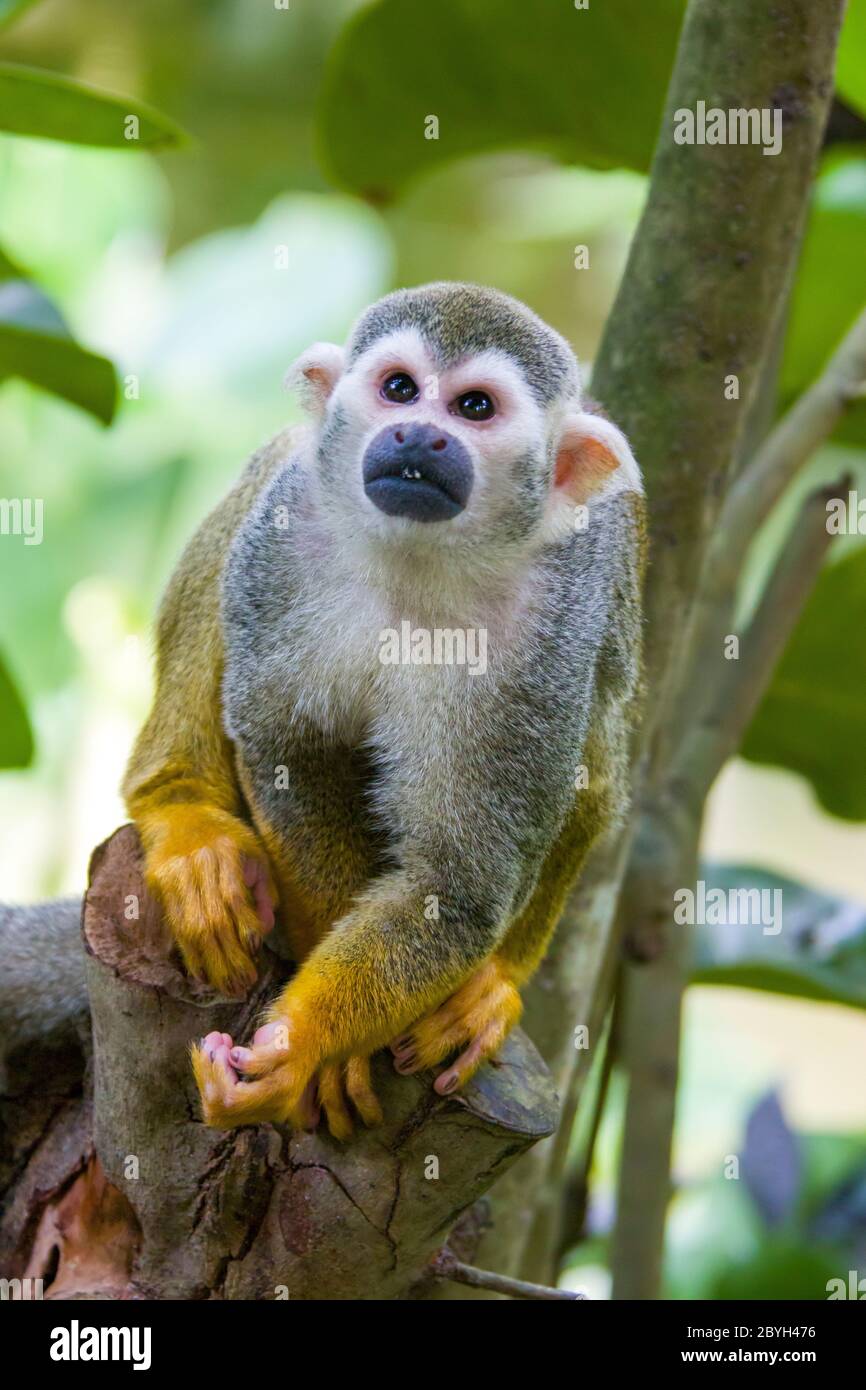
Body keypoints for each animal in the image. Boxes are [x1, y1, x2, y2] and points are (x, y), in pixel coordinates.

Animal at [1, 283, 645, 1140]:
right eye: (400, 388)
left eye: (475, 407)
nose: (420, 434)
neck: (416, 560)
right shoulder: (287, 541)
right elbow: (289, 758)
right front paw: (327, 1052)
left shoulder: (541, 648)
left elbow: (457, 882)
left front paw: (303, 1047)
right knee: (277, 457)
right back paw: (177, 805)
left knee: (599, 747)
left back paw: (496, 983)